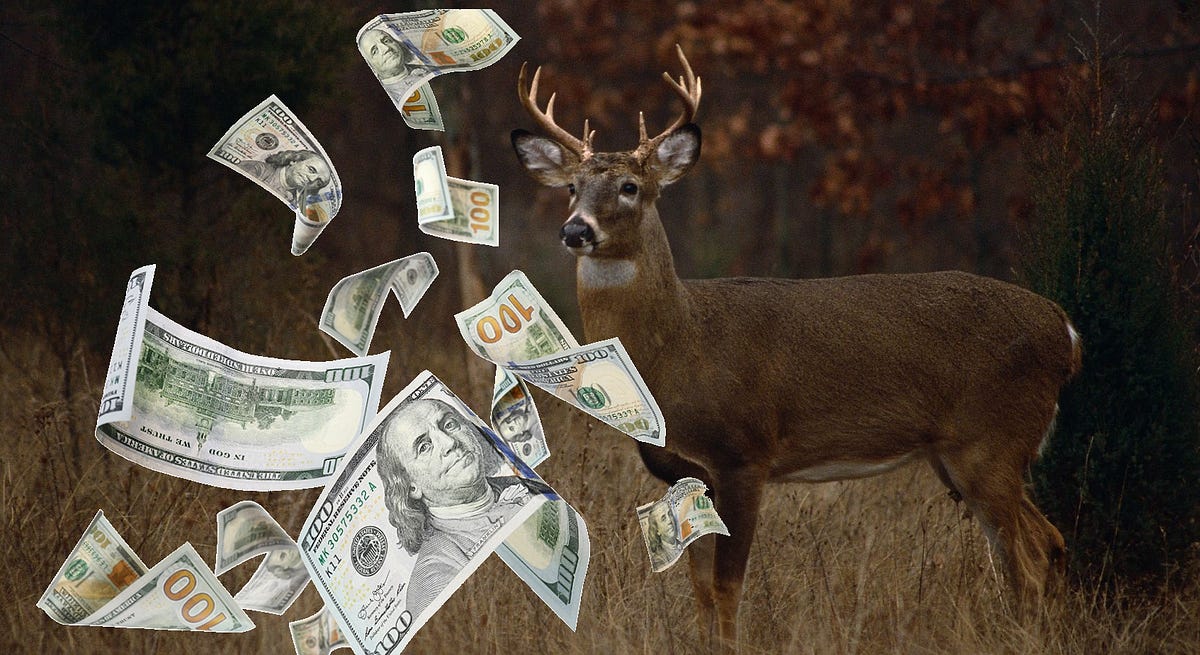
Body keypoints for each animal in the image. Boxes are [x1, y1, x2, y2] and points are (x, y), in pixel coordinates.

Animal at [511, 46, 1079, 652]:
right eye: (572, 188)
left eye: (629, 188)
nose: (575, 230)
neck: (679, 349)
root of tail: (1064, 332)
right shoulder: (685, 474)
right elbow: (700, 591)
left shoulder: (744, 453)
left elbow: (727, 586)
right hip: (959, 454)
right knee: (1047, 543)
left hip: (991, 440)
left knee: (1028, 558)